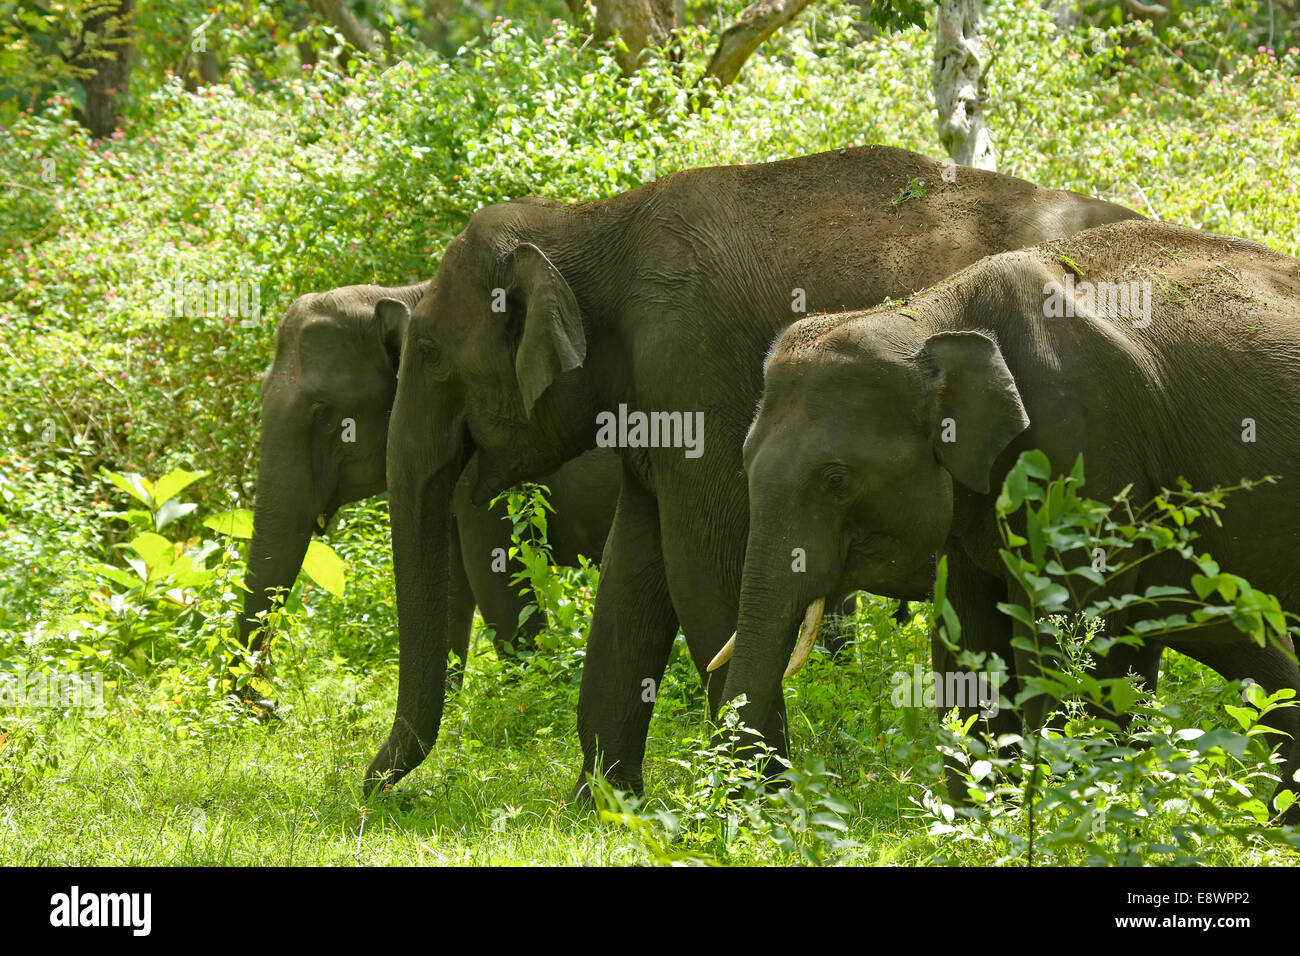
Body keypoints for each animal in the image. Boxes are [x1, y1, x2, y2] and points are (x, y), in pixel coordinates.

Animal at [367, 145, 1142, 796]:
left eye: (429, 354)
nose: (374, 796)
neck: (585, 220)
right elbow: (634, 572)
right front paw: (608, 809)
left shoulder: (692, 369)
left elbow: (705, 567)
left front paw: (754, 809)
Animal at [723, 219, 1300, 815]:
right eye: (745, 462)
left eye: (835, 480)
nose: (770, 803)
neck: (930, 315)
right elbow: (970, 646)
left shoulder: (1082, 453)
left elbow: (1069, 651)